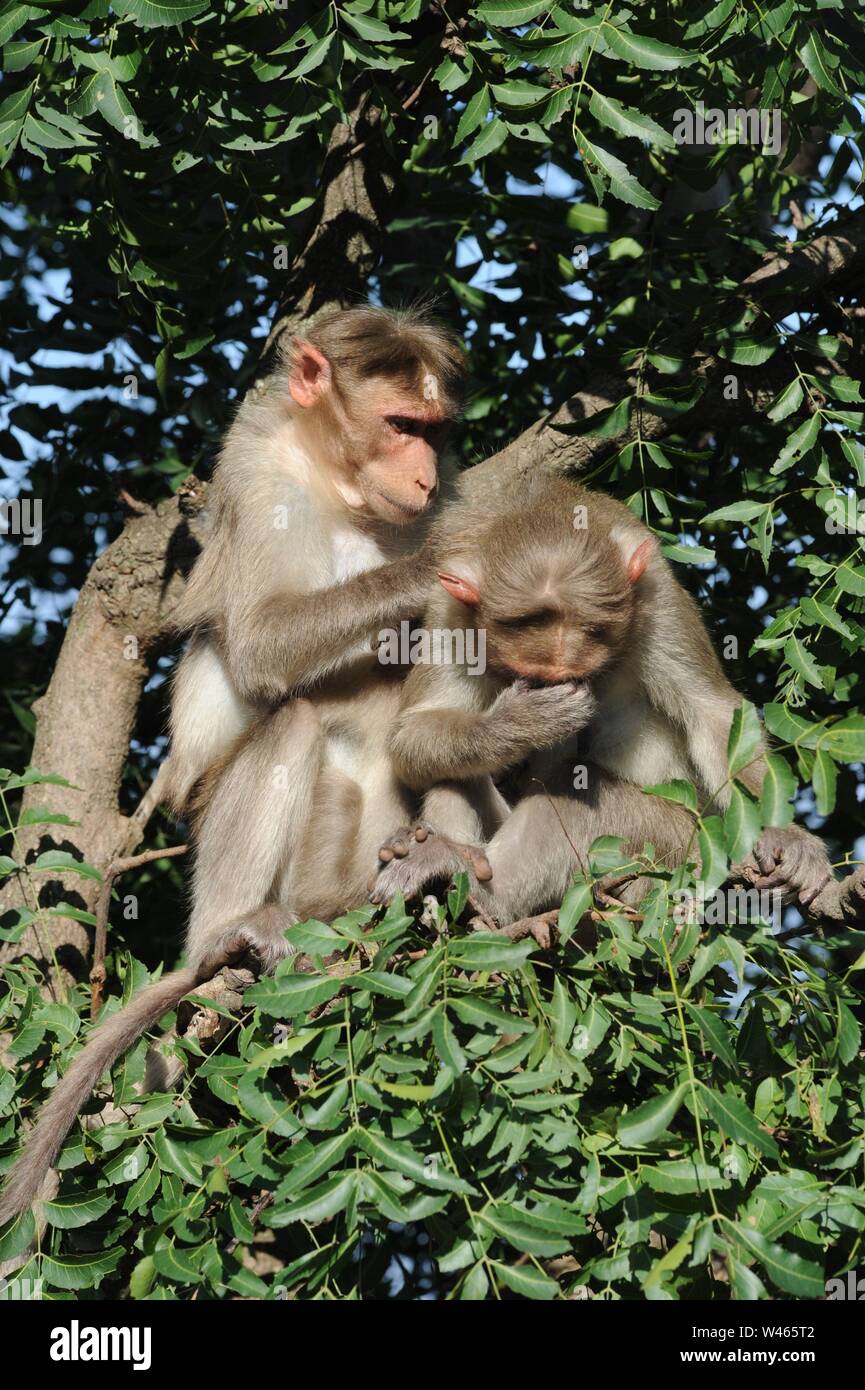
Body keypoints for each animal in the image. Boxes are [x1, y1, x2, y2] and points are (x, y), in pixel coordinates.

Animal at [0, 306, 465, 1228]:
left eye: (433, 431)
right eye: (402, 425)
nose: (428, 473)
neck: (340, 489)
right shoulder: (255, 473)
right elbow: (256, 644)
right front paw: (430, 568)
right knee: (287, 722)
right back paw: (229, 932)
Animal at [371, 474, 834, 924]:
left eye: (584, 675)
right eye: (530, 678)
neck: (539, 509)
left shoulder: (657, 592)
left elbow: (711, 714)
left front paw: (784, 835)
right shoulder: (448, 608)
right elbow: (413, 732)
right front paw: (522, 722)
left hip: (667, 846)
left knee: (578, 789)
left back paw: (480, 889)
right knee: (450, 769)